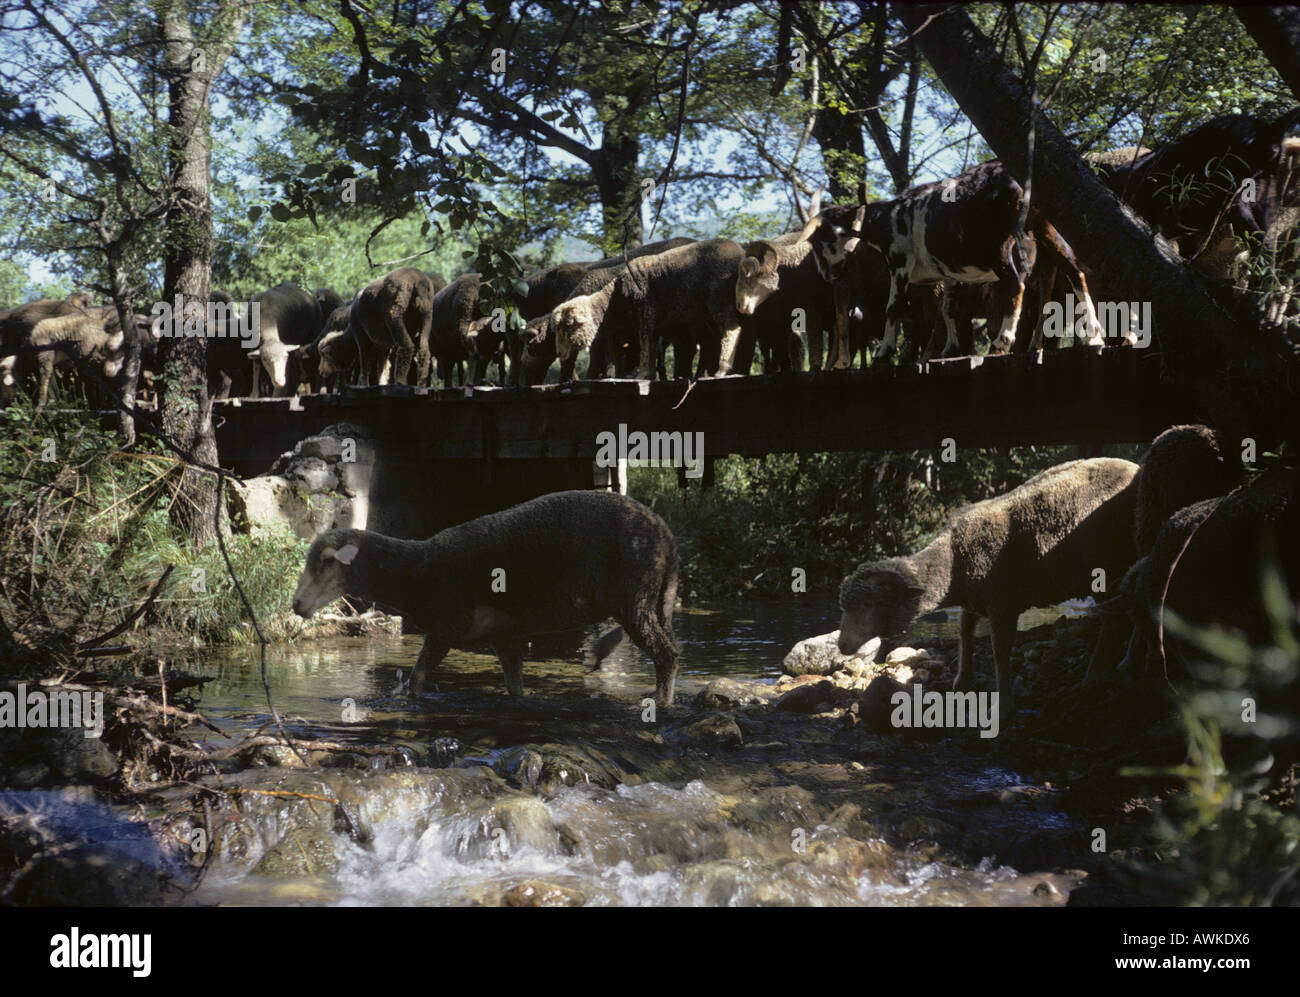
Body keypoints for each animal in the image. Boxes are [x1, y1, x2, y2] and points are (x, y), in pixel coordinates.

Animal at [291, 490, 681, 704]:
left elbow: (417, 679)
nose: (296, 605)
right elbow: (514, 684)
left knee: (667, 655)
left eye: (325, 561)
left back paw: (661, 701)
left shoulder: (446, 626)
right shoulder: (503, 633)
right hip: (655, 600)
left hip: (635, 597)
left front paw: (410, 701)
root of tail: (668, 536)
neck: (414, 571)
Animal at [553, 239, 746, 380]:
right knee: (713, 338)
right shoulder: (654, 320)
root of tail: (740, 253)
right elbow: (650, 343)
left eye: (567, 326)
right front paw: (648, 373)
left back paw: (722, 369)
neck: (614, 300)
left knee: (731, 330)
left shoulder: (646, 310)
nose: (559, 353)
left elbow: (644, 341)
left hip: (718, 298)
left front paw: (642, 374)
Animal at [838, 457, 1140, 717]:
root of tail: (1136, 468)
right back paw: (1125, 664)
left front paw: (1003, 706)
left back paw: (1094, 676)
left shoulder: (1002, 603)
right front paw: (962, 680)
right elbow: (964, 631)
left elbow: (999, 651)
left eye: (868, 604)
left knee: (1116, 620)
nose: (841, 645)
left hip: (1110, 566)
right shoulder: (976, 601)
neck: (953, 563)